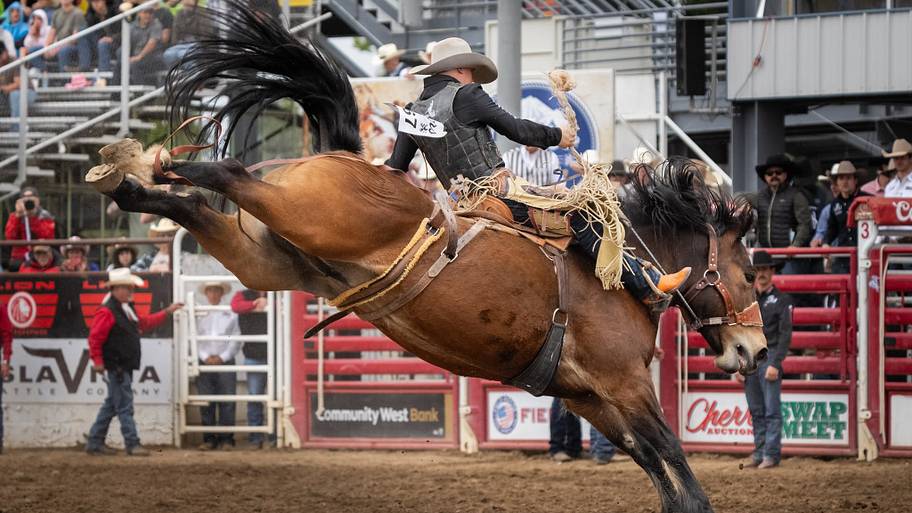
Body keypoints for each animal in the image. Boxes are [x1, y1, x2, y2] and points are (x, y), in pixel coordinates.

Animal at [87, 4, 766, 512]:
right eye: (750, 271)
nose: (755, 351)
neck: (627, 268)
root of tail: (341, 158)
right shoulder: (623, 382)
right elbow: (673, 456)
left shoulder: (585, 396)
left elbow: (654, 465)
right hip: (303, 215)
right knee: (229, 171)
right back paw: (156, 162)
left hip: (269, 260)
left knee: (205, 216)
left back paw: (131, 183)